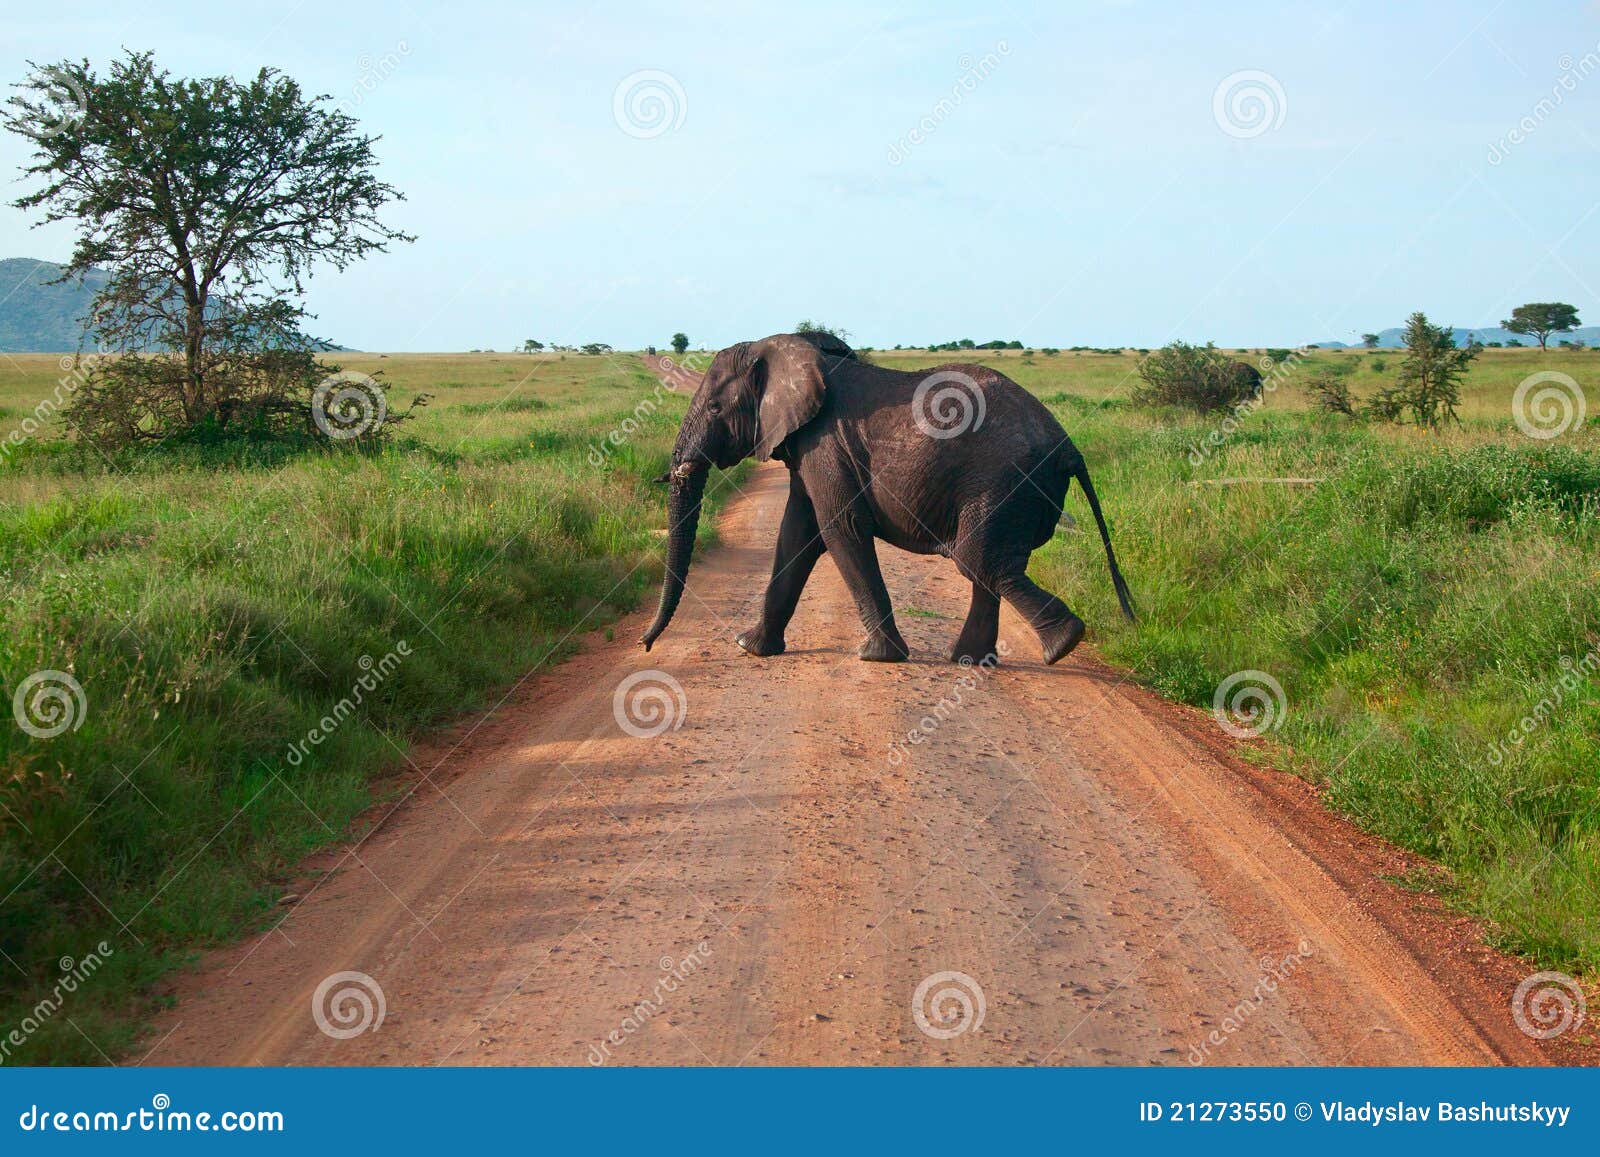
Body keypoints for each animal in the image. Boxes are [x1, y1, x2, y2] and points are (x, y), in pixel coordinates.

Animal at [640, 332, 1134, 665]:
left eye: (715, 409)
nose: (645, 644)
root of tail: (1068, 445)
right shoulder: (810, 449)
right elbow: (796, 536)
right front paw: (752, 648)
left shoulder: (825, 444)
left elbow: (838, 529)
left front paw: (877, 656)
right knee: (987, 566)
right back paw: (973, 660)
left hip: (1003, 481)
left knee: (981, 562)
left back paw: (1062, 644)